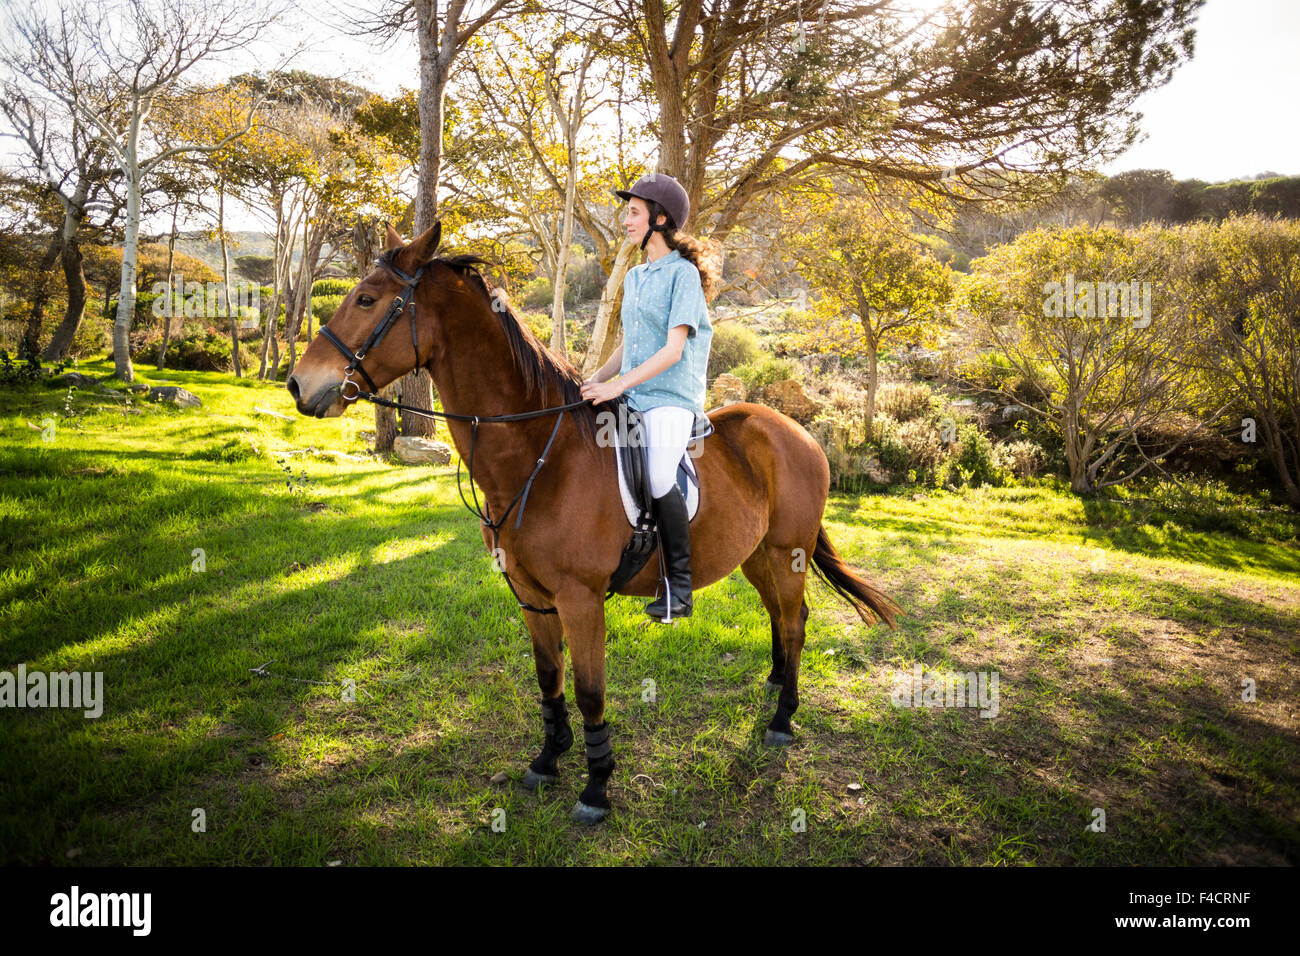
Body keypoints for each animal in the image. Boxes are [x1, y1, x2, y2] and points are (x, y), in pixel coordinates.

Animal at [287, 222, 899, 825]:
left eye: (367, 299)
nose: (298, 384)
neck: (541, 454)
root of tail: (795, 430)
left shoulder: (579, 598)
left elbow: (588, 692)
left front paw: (597, 786)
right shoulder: (531, 596)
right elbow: (548, 680)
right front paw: (547, 759)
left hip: (786, 551)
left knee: (795, 621)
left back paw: (782, 718)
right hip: (755, 554)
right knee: (782, 615)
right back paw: (775, 683)